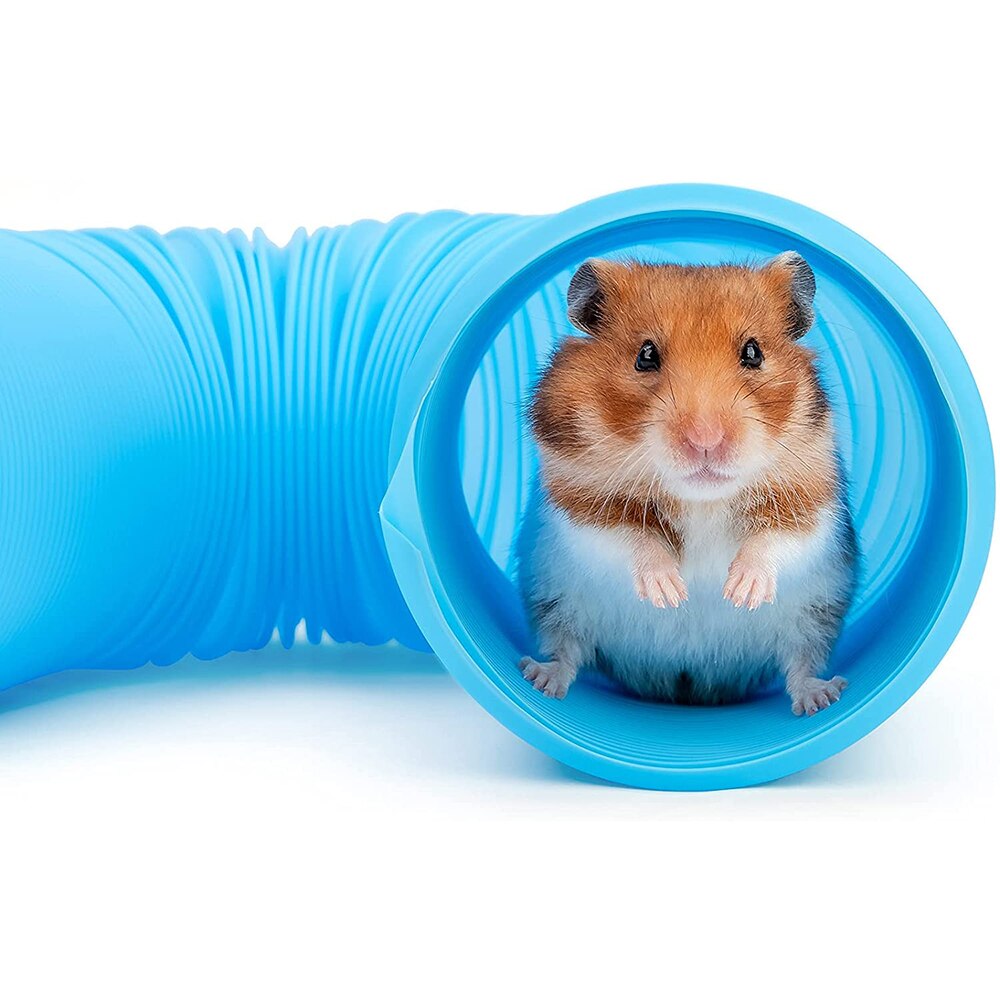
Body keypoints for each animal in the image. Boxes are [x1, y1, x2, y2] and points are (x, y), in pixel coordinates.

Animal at [516, 253, 858, 716]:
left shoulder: (811, 497)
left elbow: (777, 538)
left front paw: (740, 592)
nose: (705, 441)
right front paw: (671, 594)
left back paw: (820, 697)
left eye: (753, 352)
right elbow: (629, 537)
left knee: (799, 662)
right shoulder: (578, 500)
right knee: (569, 650)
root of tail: (688, 683)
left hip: (813, 618)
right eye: (645, 355)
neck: (702, 499)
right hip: (559, 606)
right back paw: (539, 678)